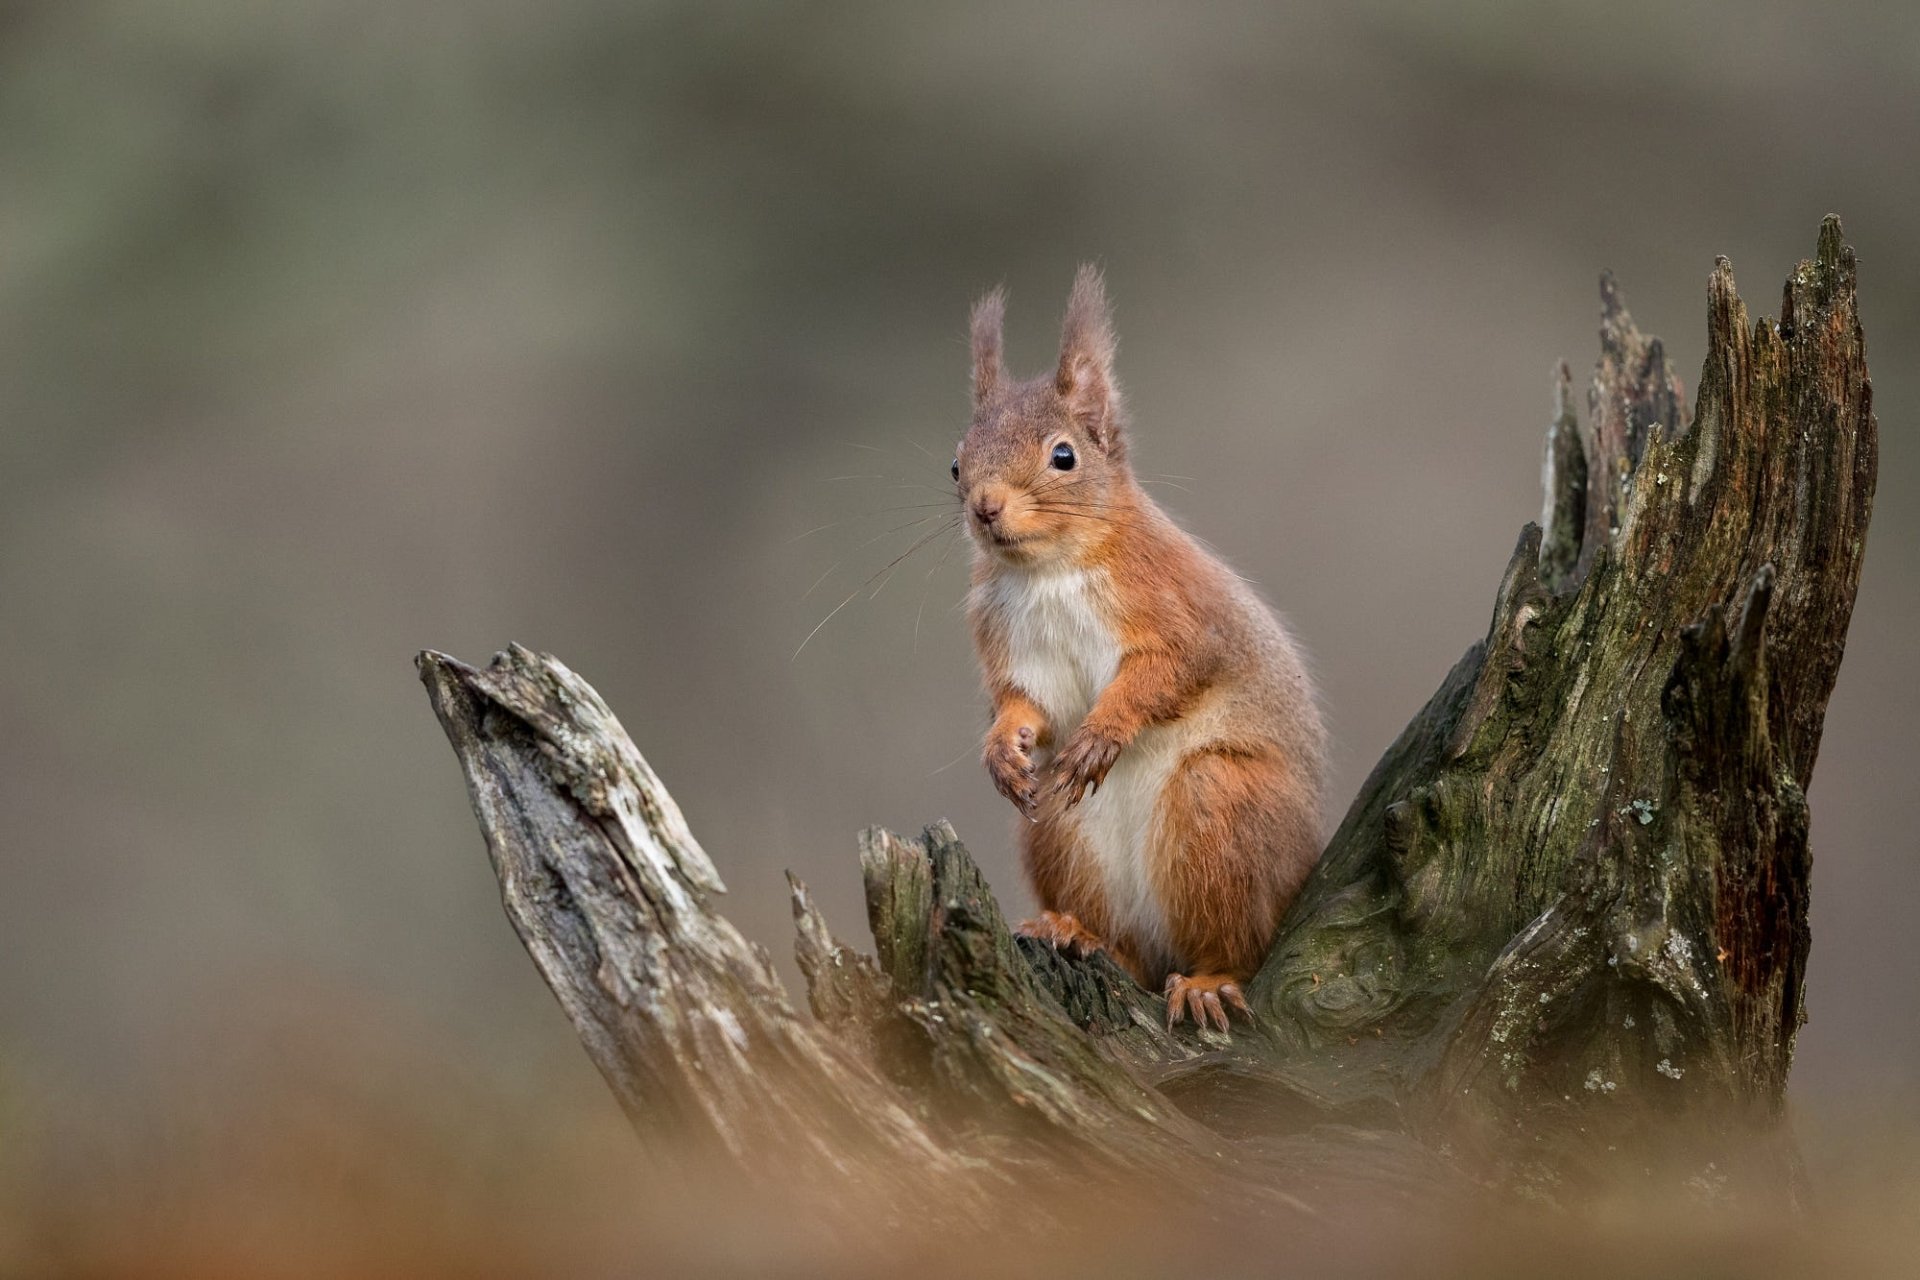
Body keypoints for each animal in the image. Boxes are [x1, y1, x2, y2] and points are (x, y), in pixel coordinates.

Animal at [954, 266, 1328, 1032]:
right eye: (954, 465)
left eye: (1063, 456)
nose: (984, 506)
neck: (1051, 571)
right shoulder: (1008, 640)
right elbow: (1023, 703)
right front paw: (1004, 748)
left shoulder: (1179, 611)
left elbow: (1166, 672)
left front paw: (1103, 732)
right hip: (1059, 830)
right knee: (1127, 948)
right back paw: (1075, 933)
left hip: (1224, 810)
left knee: (1233, 943)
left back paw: (1209, 982)